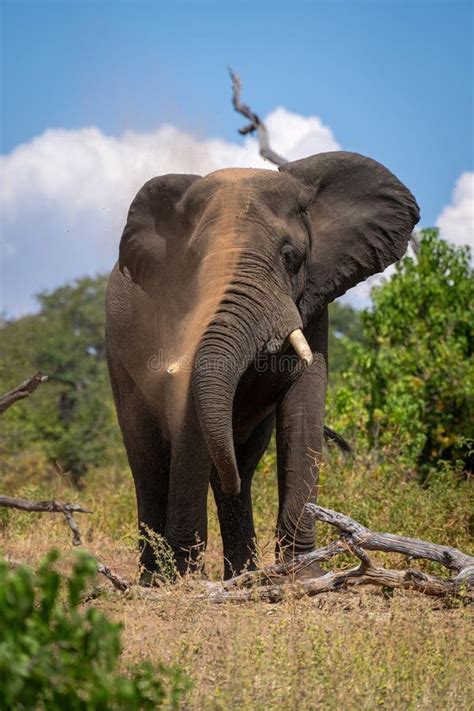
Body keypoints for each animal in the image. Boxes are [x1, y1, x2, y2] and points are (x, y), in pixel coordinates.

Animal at [105, 151, 419, 581]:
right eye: (192, 264)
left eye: (291, 258)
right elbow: (188, 415)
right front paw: (186, 582)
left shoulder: (313, 305)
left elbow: (303, 412)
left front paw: (302, 576)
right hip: (117, 360)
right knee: (149, 463)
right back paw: (157, 580)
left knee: (241, 462)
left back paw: (241, 574)